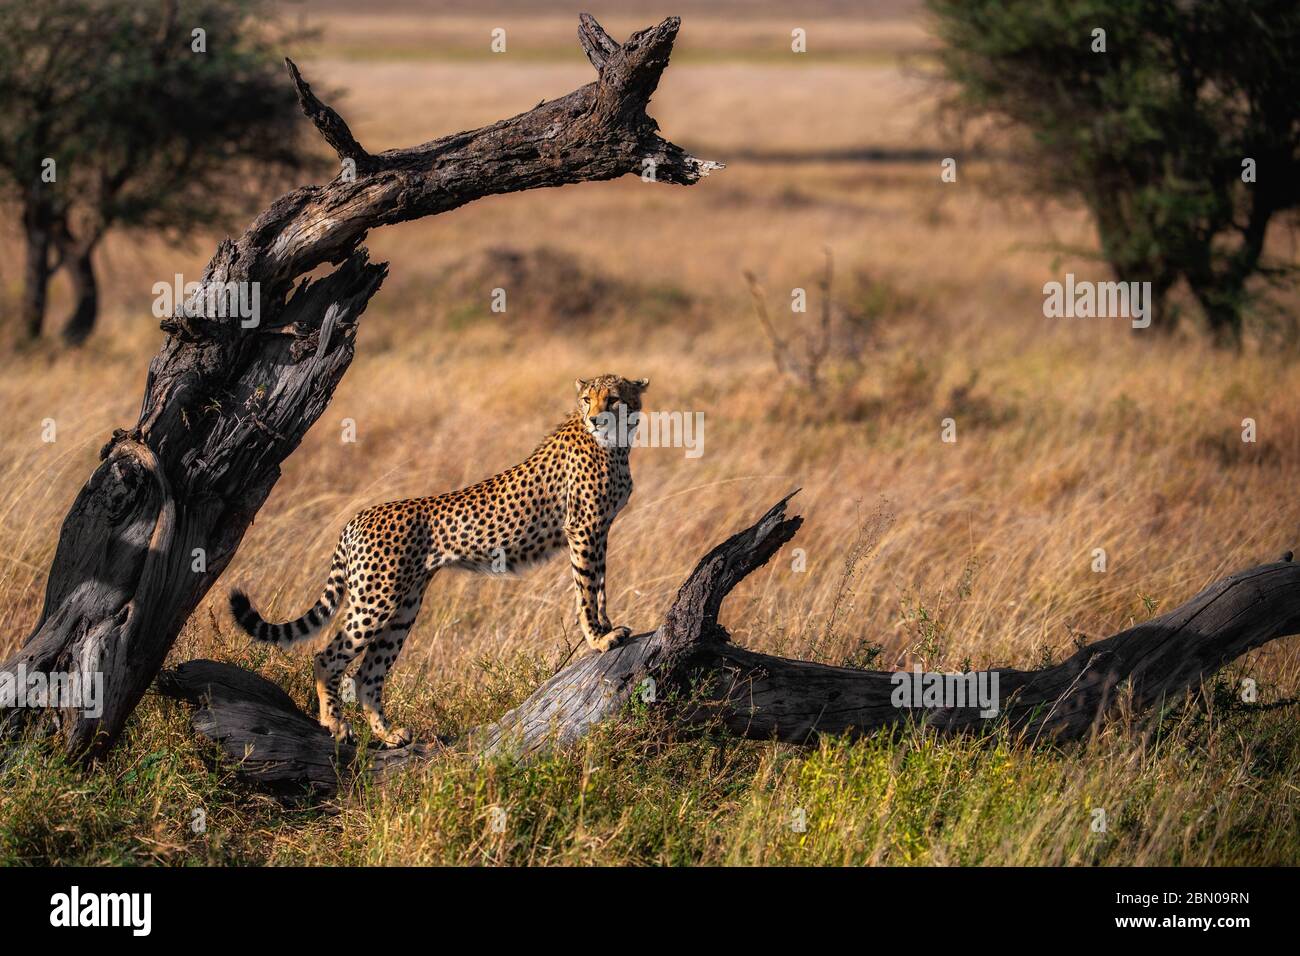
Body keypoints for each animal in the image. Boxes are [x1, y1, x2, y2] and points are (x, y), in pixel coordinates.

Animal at [229, 373, 649, 747]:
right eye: (587, 400)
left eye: (612, 399)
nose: (595, 418)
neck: (615, 443)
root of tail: (358, 516)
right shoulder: (583, 528)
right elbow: (586, 589)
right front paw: (598, 638)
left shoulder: (600, 531)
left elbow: (600, 586)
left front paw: (609, 626)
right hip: (376, 601)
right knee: (327, 656)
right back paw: (335, 724)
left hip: (404, 607)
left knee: (368, 673)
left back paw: (388, 734)